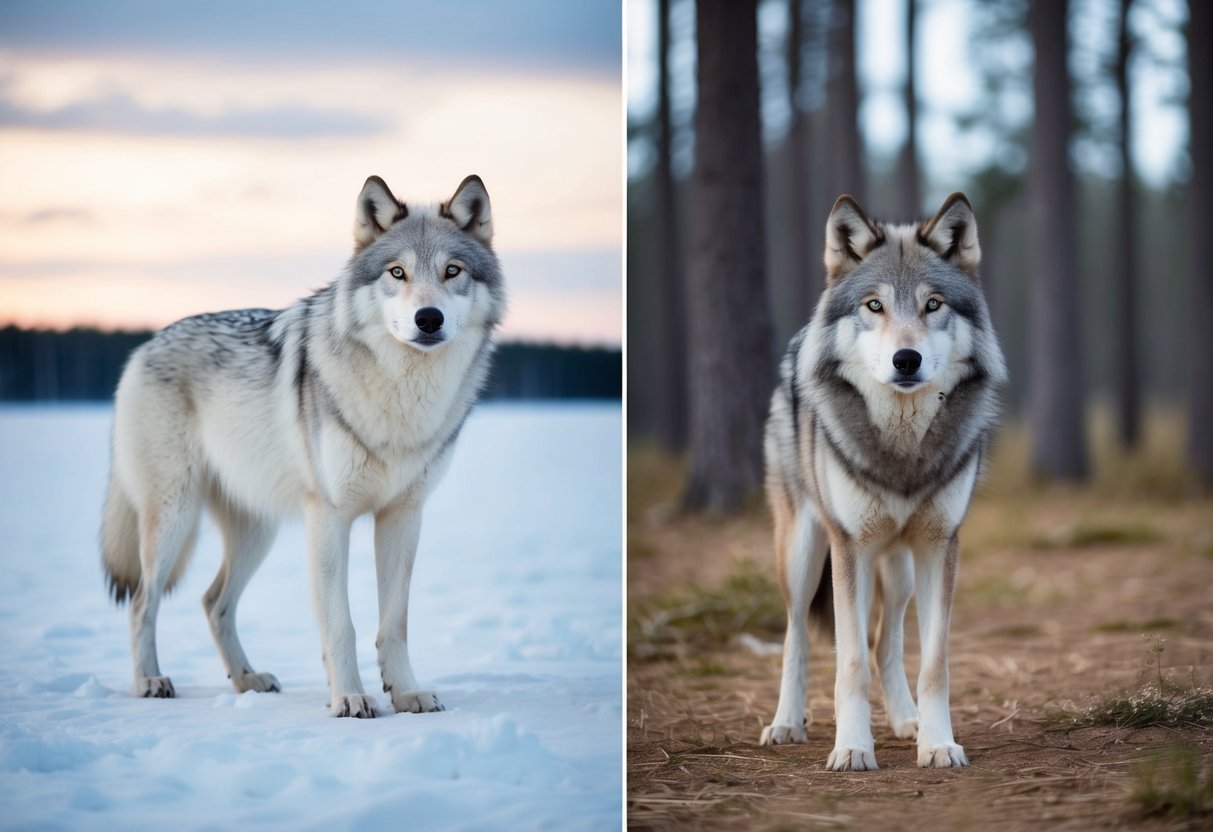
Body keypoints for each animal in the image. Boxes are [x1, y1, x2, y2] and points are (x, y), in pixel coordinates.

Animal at [101, 174, 504, 718]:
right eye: (397, 272)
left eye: (452, 271)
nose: (428, 318)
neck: (402, 400)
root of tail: (144, 345)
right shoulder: (330, 517)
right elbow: (342, 624)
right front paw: (350, 698)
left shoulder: (403, 516)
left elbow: (394, 624)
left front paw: (406, 694)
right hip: (174, 517)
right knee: (144, 602)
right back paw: (150, 681)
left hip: (257, 531)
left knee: (213, 601)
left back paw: (246, 680)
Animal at [758, 192, 1007, 768]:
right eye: (874, 306)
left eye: (933, 305)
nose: (906, 359)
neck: (901, 448)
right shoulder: (850, 547)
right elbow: (847, 662)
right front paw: (851, 748)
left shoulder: (940, 546)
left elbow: (933, 662)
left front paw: (937, 743)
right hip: (804, 552)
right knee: (796, 633)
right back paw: (786, 723)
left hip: (901, 570)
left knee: (885, 640)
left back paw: (905, 720)